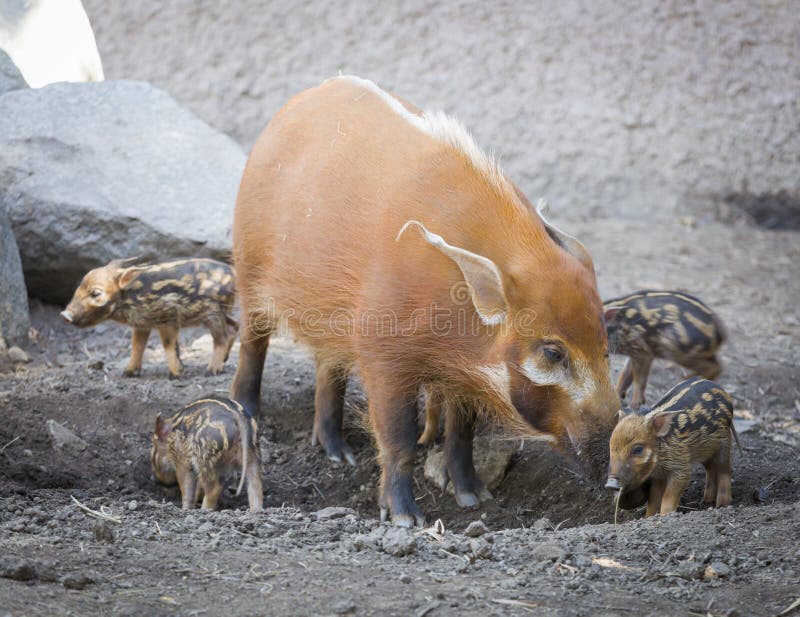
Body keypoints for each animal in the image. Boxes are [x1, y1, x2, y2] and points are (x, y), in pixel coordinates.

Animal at [61, 258, 238, 378]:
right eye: (79, 286)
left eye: (96, 293)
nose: (64, 315)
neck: (130, 297)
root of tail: (234, 275)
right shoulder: (141, 325)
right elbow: (137, 346)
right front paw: (128, 373)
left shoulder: (168, 319)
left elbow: (168, 345)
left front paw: (175, 375)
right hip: (219, 313)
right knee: (234, 326)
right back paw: (224, 361)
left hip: (213, 314)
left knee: (221, 337)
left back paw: (211, 370)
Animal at [230, 76, 619, 526]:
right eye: (553, 352)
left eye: (606, 347)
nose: (612, 477)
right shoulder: (383, 354)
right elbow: (398, 439)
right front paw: (405, 519)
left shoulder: (462, 372)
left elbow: (462, 432)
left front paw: (473, 498)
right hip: (248, 271)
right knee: (252, 342)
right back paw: (248, 410)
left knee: (329, 368)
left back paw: (339, 455)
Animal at [605, 376, 739, 517]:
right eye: (611, 447)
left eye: (638, 449)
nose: (610, 484)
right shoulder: (658, 476)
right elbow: (654, 498)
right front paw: (648, 517)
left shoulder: (681, 467)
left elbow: (669, 496)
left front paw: (666, 516)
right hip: (707, 450)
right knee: (710, 469)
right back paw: (706, 502)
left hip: (724, 442)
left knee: (724, 470)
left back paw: (722, 505)